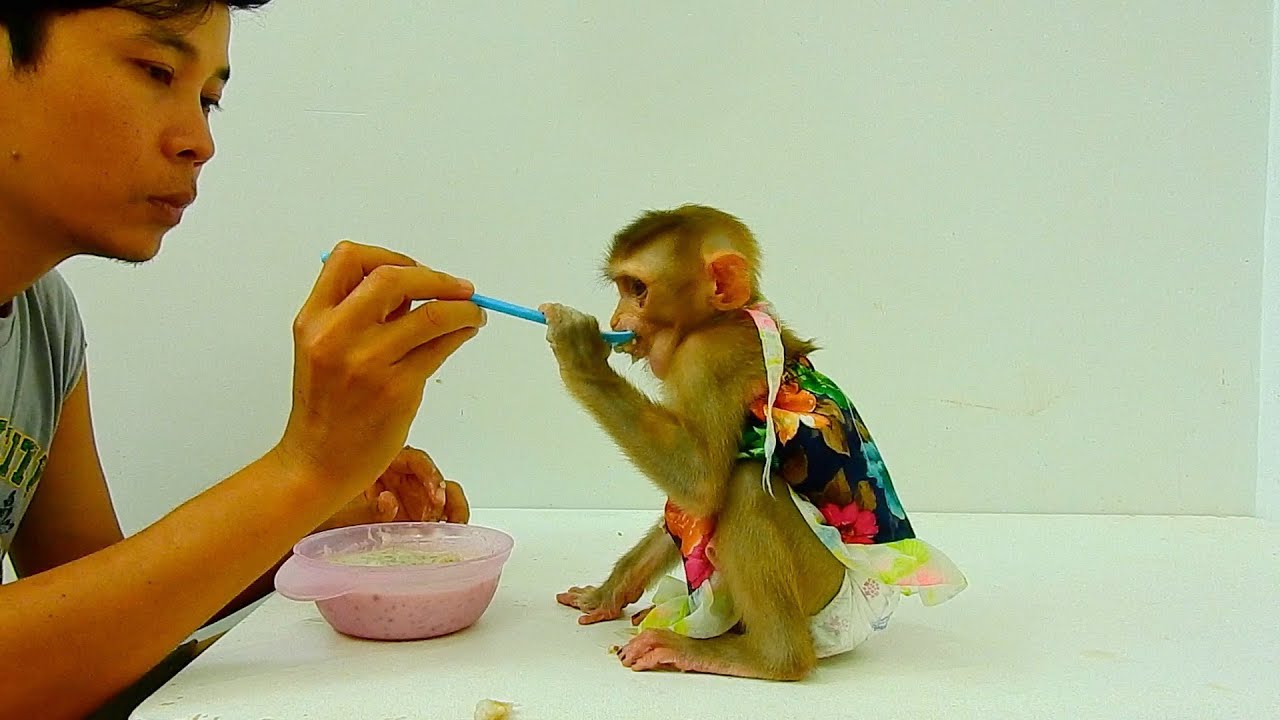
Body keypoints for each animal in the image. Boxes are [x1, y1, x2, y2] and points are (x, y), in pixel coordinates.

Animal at [540, 204, 966, 680]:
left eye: (638, 290)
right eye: (622, 289)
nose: (615, 323)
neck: (724, 318)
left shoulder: (709, 358)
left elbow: (701, 482)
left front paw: (581, 352)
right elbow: (688, 503)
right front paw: (609, 592)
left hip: (828, 591)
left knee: (745, 487)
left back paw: (764, 656)